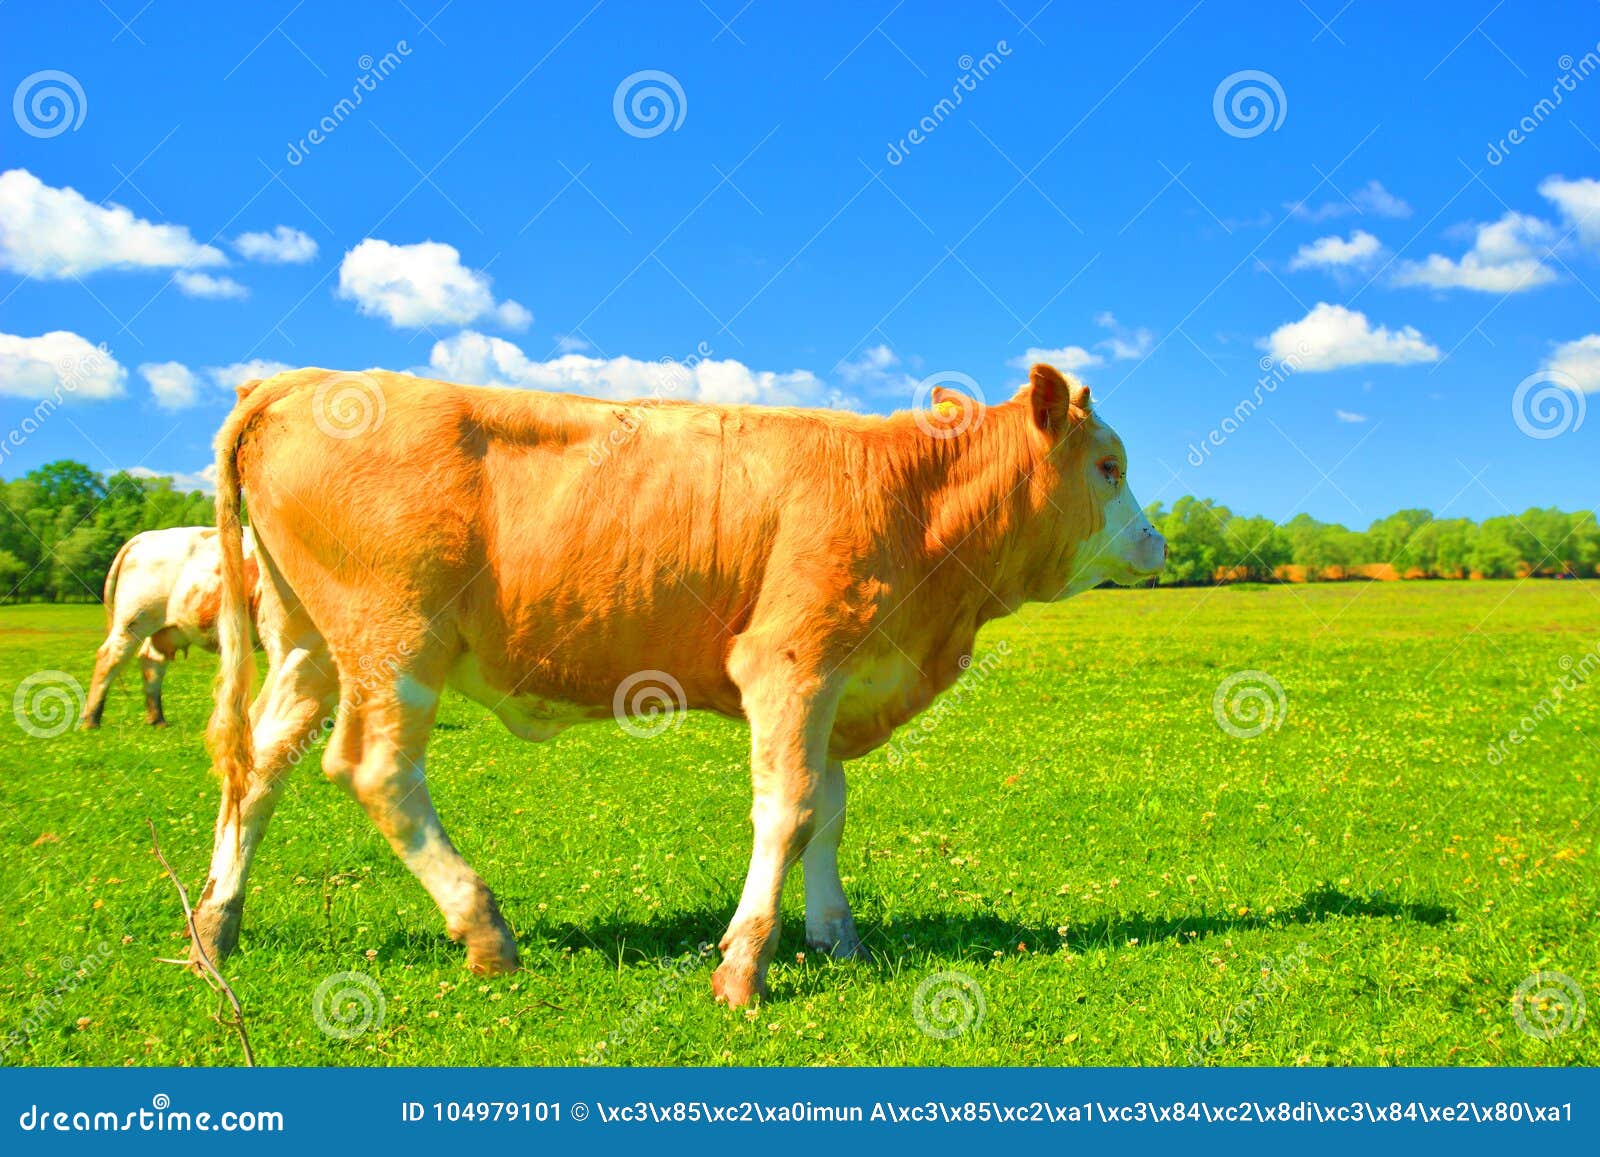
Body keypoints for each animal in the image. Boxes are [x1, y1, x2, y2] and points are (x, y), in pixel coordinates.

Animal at [81, 527, 260, 729]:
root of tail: (144, 537)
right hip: (132, 620)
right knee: (110, 657)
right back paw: (91, 720)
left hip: (165, 629)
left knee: (151, 661)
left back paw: (157, 719)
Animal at [190, 362, 1165, 1005]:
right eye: (1109, 466)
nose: (1157, 542)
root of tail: (300, 377)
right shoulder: (790, 658)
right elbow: (791, 809)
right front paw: (743, 966)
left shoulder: (837, 677)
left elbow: (830, 811)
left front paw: (837, 937)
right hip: (396, 636)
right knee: (375, 769)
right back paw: (485, 931)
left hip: (311, 641)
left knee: (260, 761)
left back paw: (214, 927)